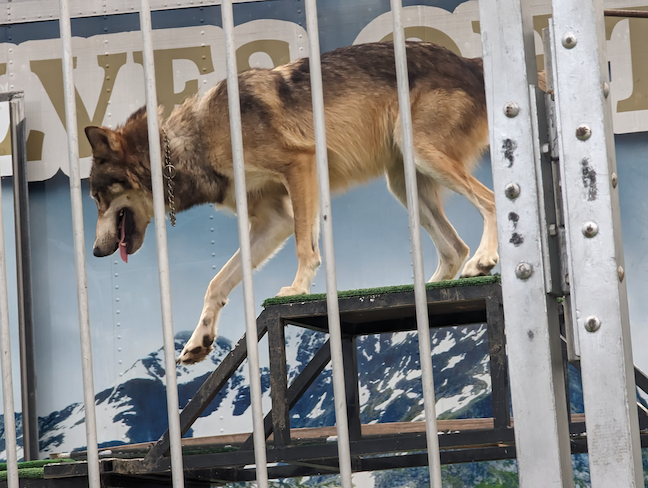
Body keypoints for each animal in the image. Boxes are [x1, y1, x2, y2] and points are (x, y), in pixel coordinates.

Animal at [85, 41, 497, 365]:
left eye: (97, 197)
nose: (95, 253)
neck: (194, 142)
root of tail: (469, 61)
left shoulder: (300, 168)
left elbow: (305, 247)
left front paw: (298, 289)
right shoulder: (271, 220)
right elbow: (217, 283)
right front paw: (198, 342)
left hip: (422, 155)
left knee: (490, 201)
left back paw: (484, 260)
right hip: (403, 182)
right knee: (454, 248)